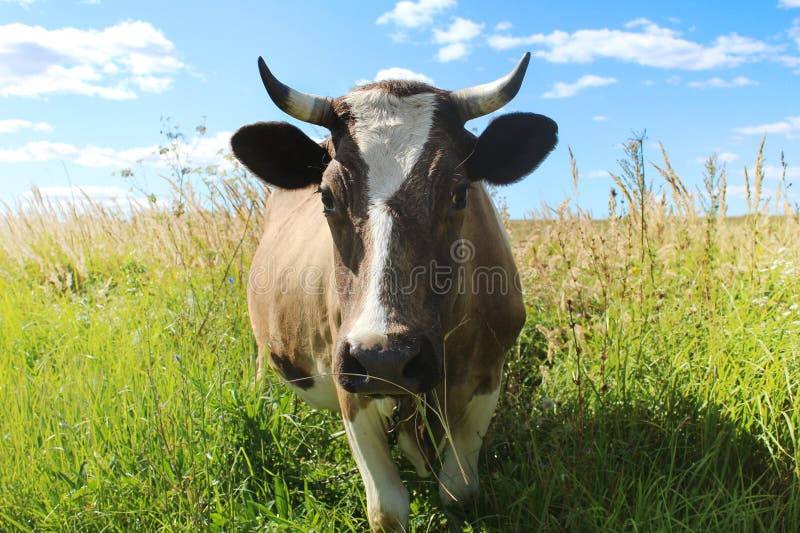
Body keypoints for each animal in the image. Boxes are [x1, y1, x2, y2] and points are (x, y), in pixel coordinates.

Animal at [231, 52, 557, 532]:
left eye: (459, 193)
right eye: (326, 197)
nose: (385, 358)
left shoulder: (489, 371)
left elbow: (458, 489)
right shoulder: (349, 375)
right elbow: (387, 508)